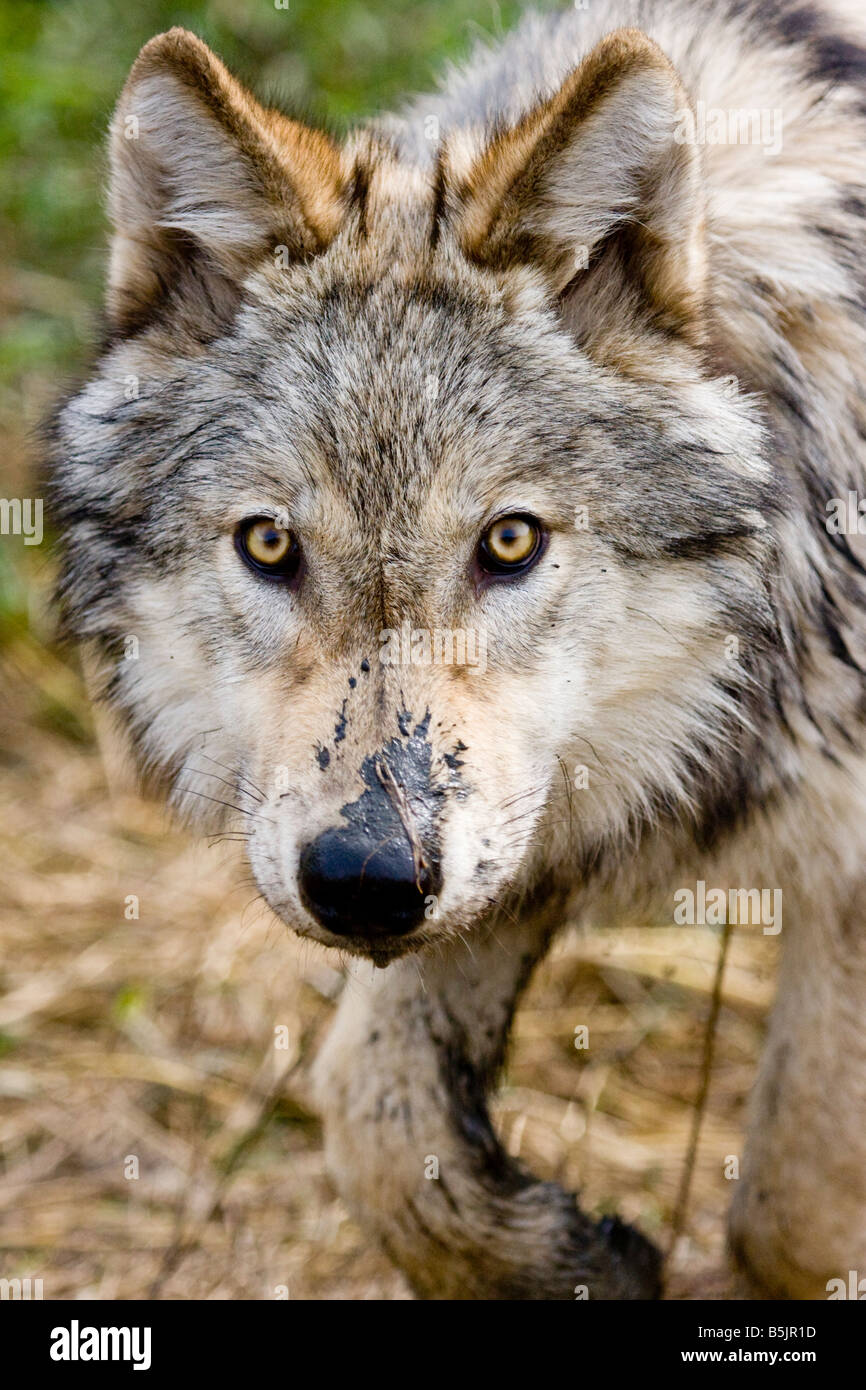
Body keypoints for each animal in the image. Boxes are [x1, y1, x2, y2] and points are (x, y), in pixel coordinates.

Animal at [47, 0, 866, 1298]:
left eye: (509, 541)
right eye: (269, 543)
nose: (364, 880)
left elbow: (791, 1212)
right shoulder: (486, 855)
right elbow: (374, 1123)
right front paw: (569, 1255)